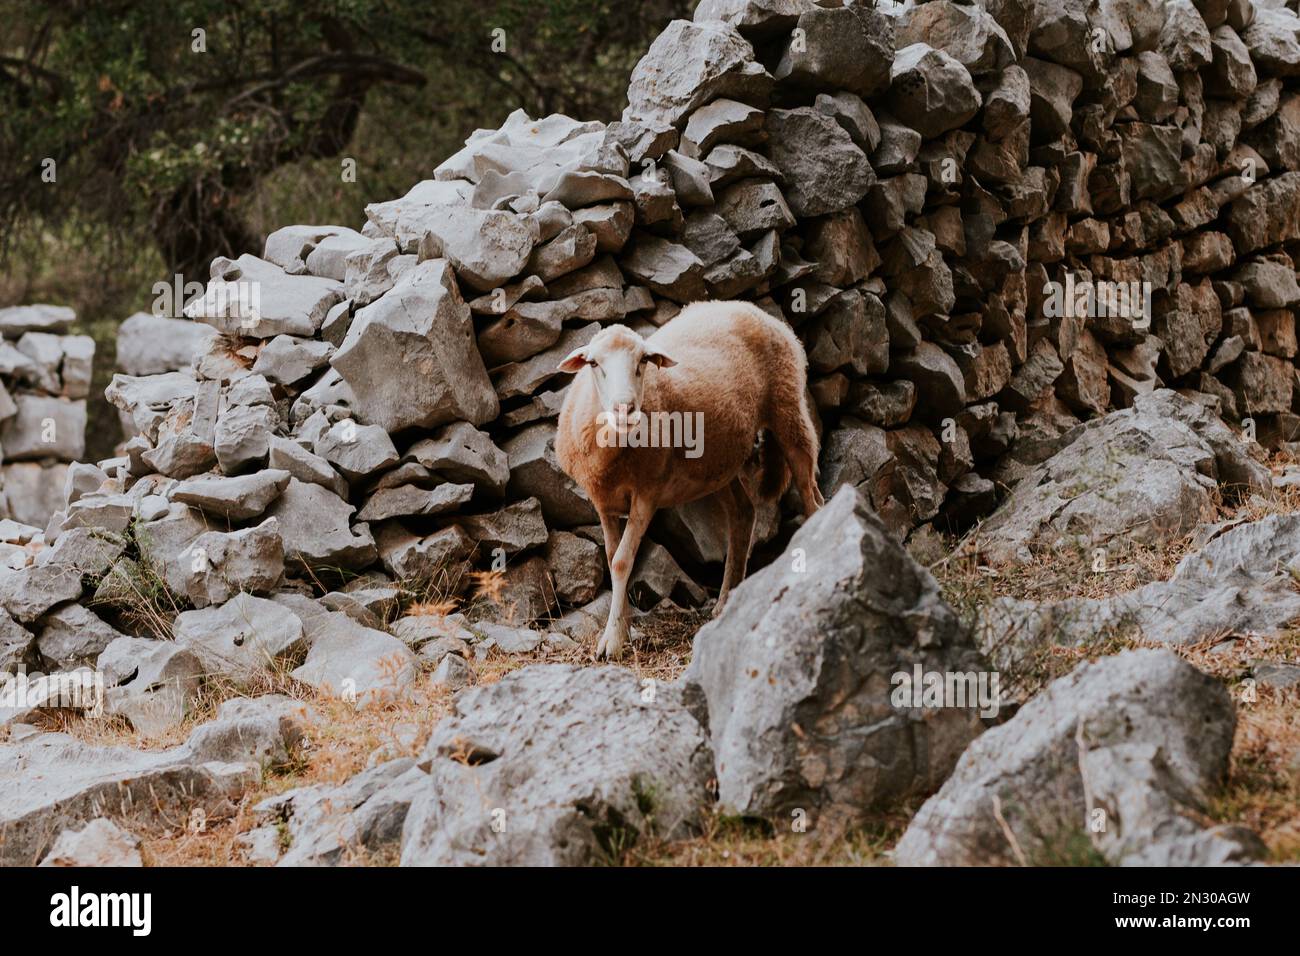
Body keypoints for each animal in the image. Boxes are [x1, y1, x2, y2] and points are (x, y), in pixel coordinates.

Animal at [555, 300, 824, 659]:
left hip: (789, 411)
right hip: (719, 461)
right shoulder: (602, 501)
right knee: (743, 514)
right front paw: (621, 630)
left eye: (643, 361)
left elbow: (624, 561)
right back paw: (726, 602)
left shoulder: (647, 493)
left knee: (812, 500)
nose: (625, 408)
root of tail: (749, 307)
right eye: (594, 363)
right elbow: (612, 559)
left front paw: (611, 640)